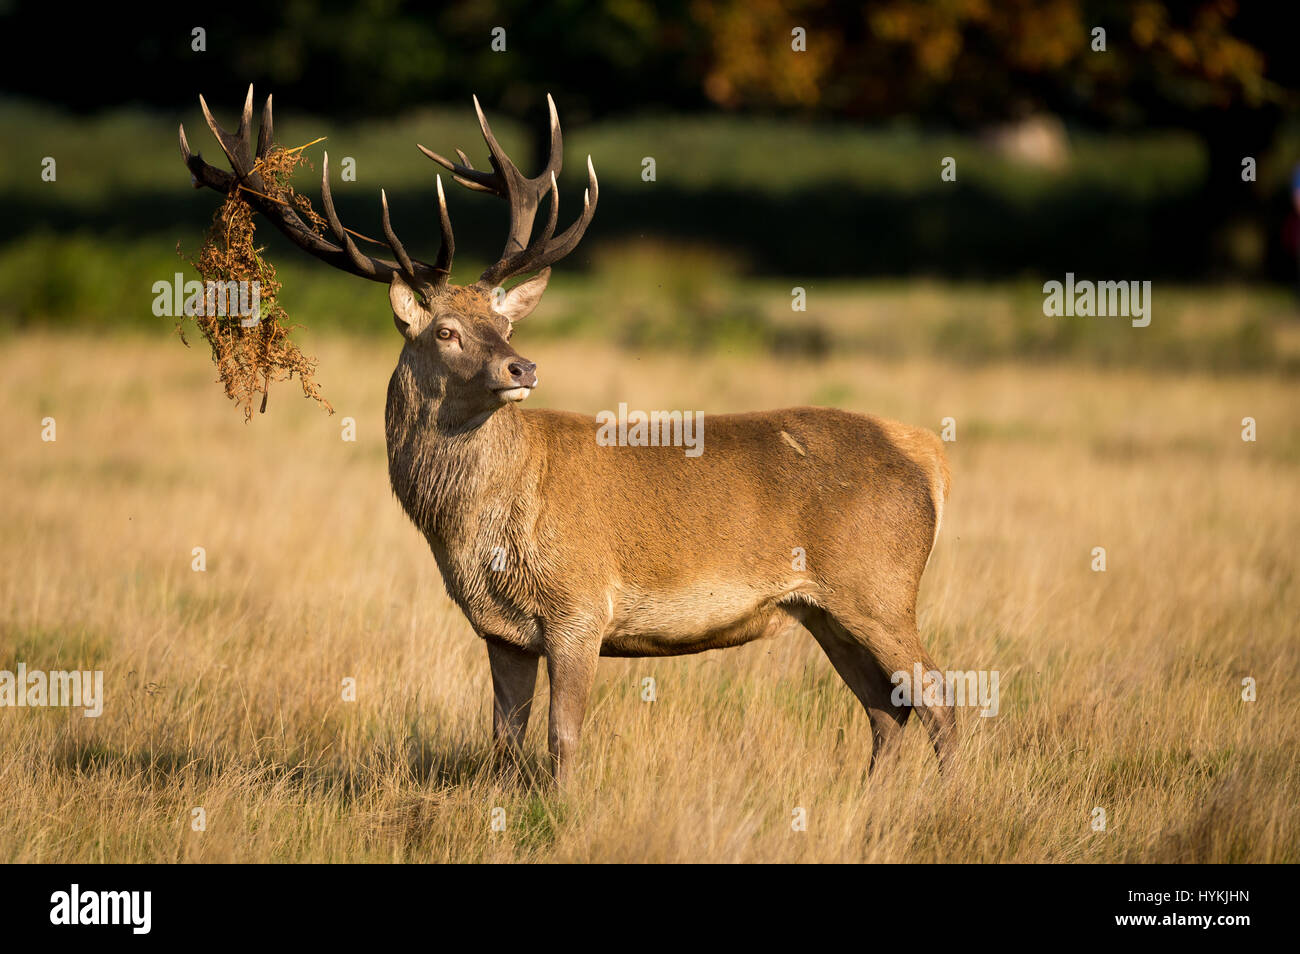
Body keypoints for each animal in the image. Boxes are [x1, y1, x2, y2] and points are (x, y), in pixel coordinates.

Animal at [180, 87, 958, 786]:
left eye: (506, 323)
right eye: (447, 330)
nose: (522, 366)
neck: (479, 530)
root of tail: (926, 455)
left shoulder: (581, 606)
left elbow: (563, 738)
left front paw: (563, 814)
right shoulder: (500, 631)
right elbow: (503, 743)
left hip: (878, 585)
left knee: (940, 701)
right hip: (824, 609)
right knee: (887, 711)